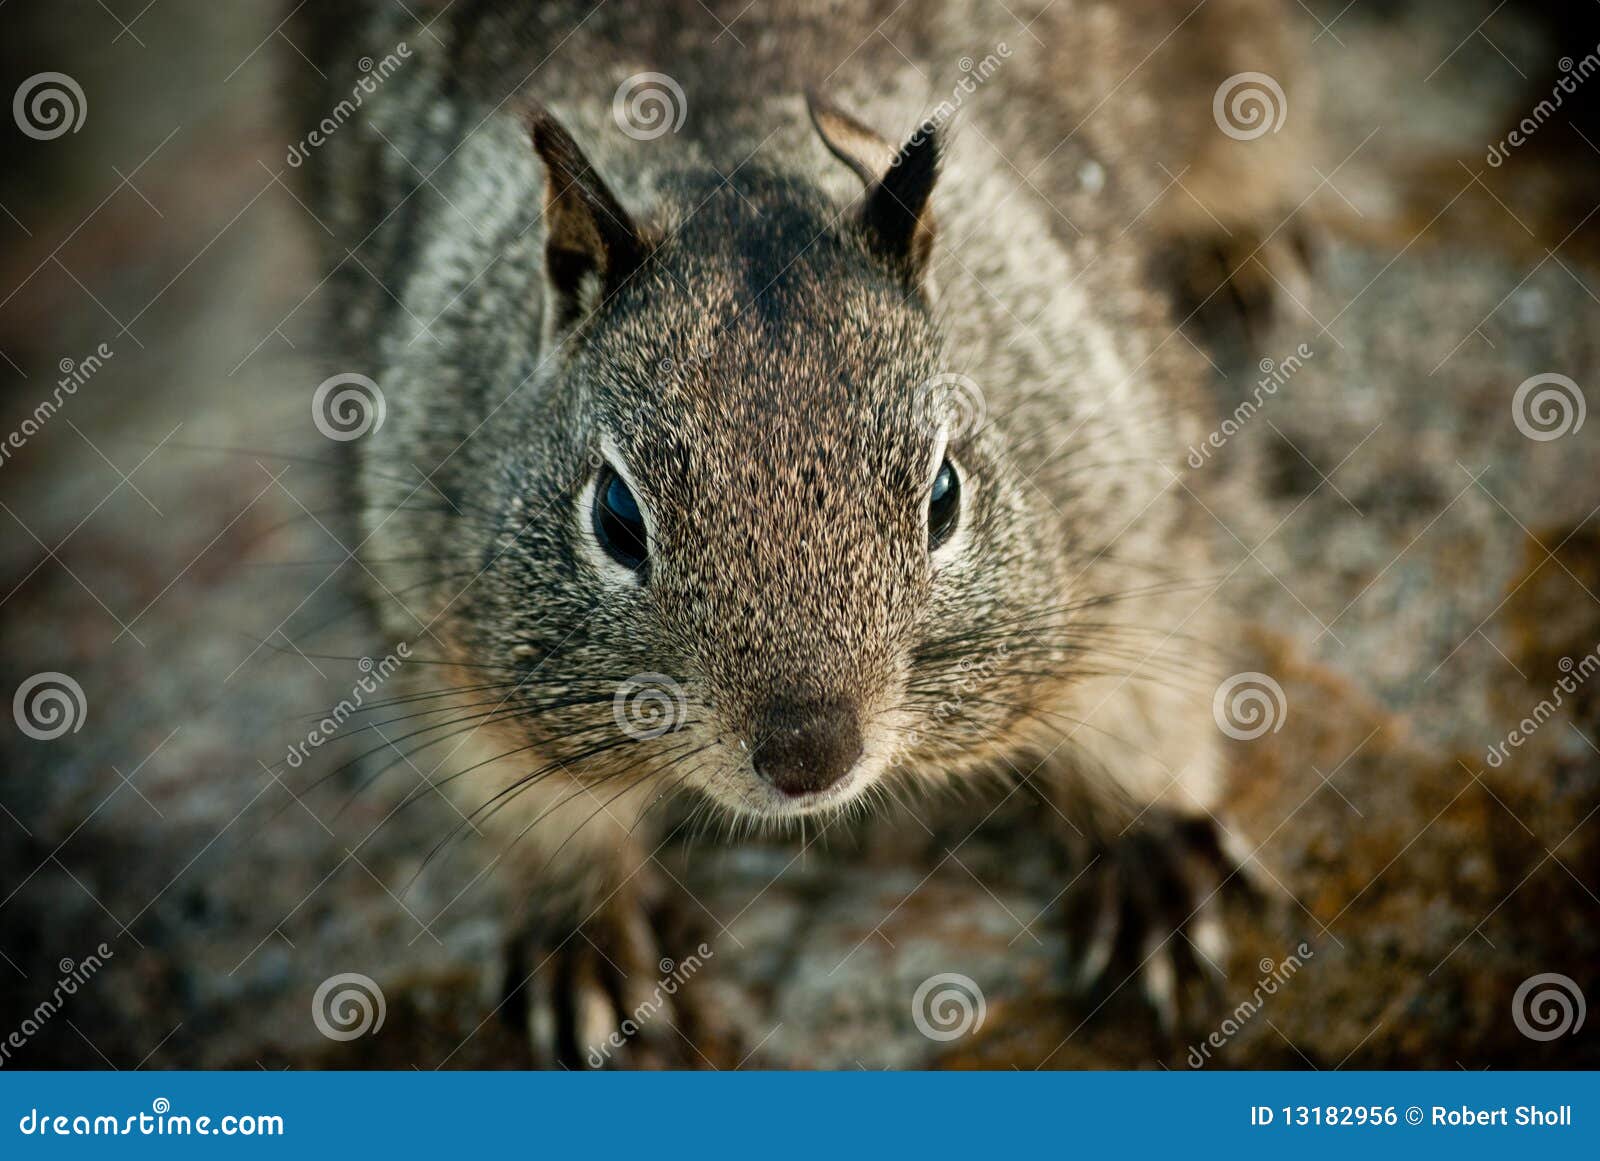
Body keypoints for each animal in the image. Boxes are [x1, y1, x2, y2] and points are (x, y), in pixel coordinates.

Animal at [292, 0, 1306, 1064]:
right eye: (616, 517)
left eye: (943, 495)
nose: (810, 756)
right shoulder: (439, 617)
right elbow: (534, 800)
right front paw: (587, 939)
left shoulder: (1131, 501)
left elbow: (1143, 695)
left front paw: (1148, 853)